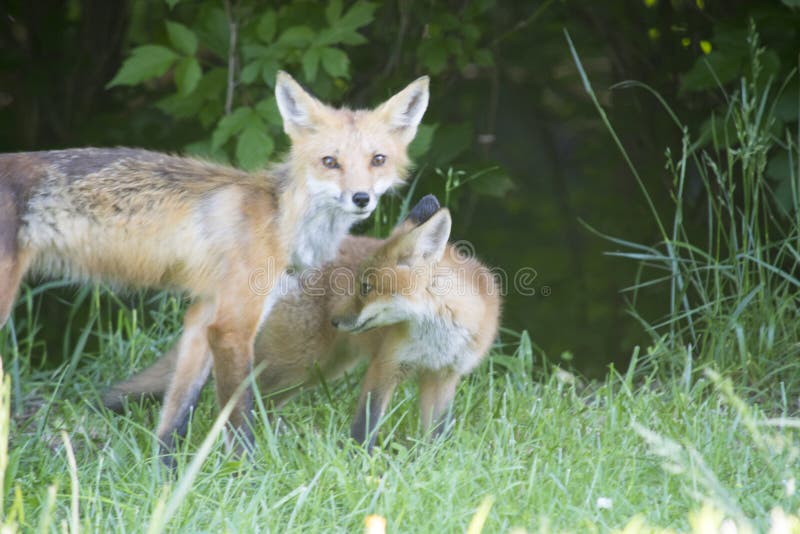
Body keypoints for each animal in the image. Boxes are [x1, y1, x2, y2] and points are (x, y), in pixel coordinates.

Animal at [0, 71, 430, 453]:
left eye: (378, 160)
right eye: (329, 161)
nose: (361, 198)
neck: (279, 220)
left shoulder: (203, 316)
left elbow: (175, 420)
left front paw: (165, 483)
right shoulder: (232, 328)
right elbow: (239, 423)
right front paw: (248, 477)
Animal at [104, 194, 502, 450]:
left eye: (366, 287)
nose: (337, 320)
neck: (440, 332)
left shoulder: (444, 375)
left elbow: (436, 435)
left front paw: (431, 462)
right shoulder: (386, 366)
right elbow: (365, 427)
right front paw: (360, 465)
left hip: (317, 370)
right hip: (298, 364)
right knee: (243, 397)